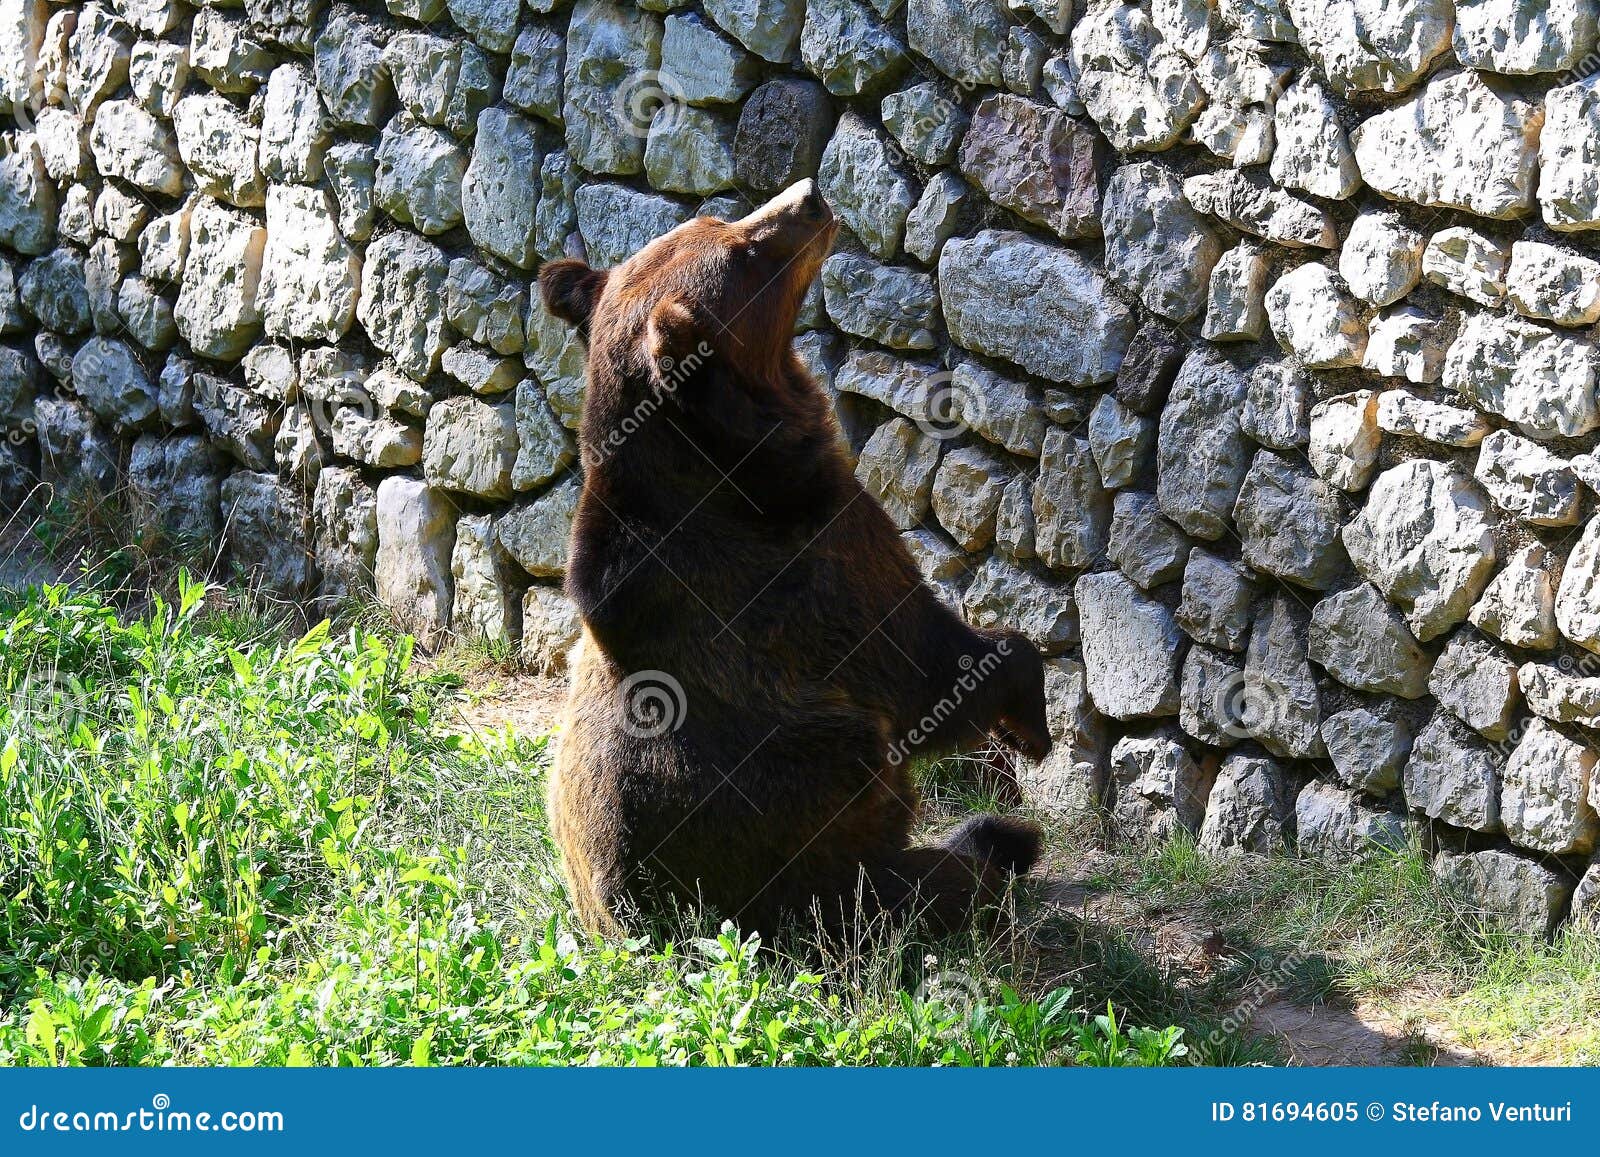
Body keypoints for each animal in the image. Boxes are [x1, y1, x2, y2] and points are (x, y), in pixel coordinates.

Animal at [540, 179, 1053, 943]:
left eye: (714, 218)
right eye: (745, 252)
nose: (807, 197)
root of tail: (635, 928)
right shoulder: (810, 569)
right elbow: (929, 663)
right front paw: (1027, 729)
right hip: (819, 876)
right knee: (934, 881)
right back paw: (1003, 845)